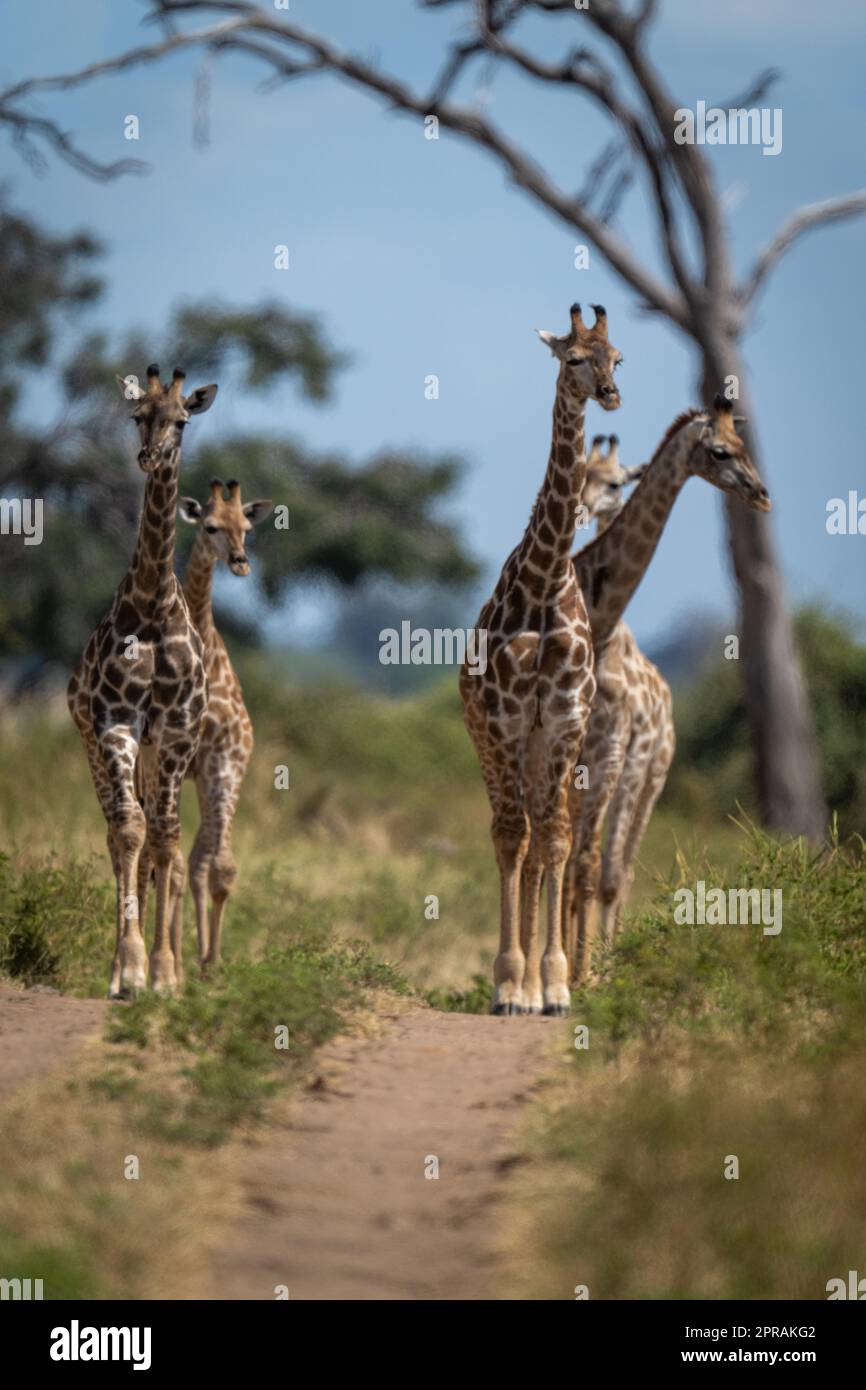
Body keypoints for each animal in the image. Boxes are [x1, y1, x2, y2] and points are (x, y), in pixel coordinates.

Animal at [566, 396, 770, 980]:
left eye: (741, 446)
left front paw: (589, 976)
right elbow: (569, 861)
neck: (605, 624)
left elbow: (597, 869)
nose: (762, 495)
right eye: (720, 451)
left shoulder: (618, 751)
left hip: (654, 773)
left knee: (621, 869)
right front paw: (571, 972)